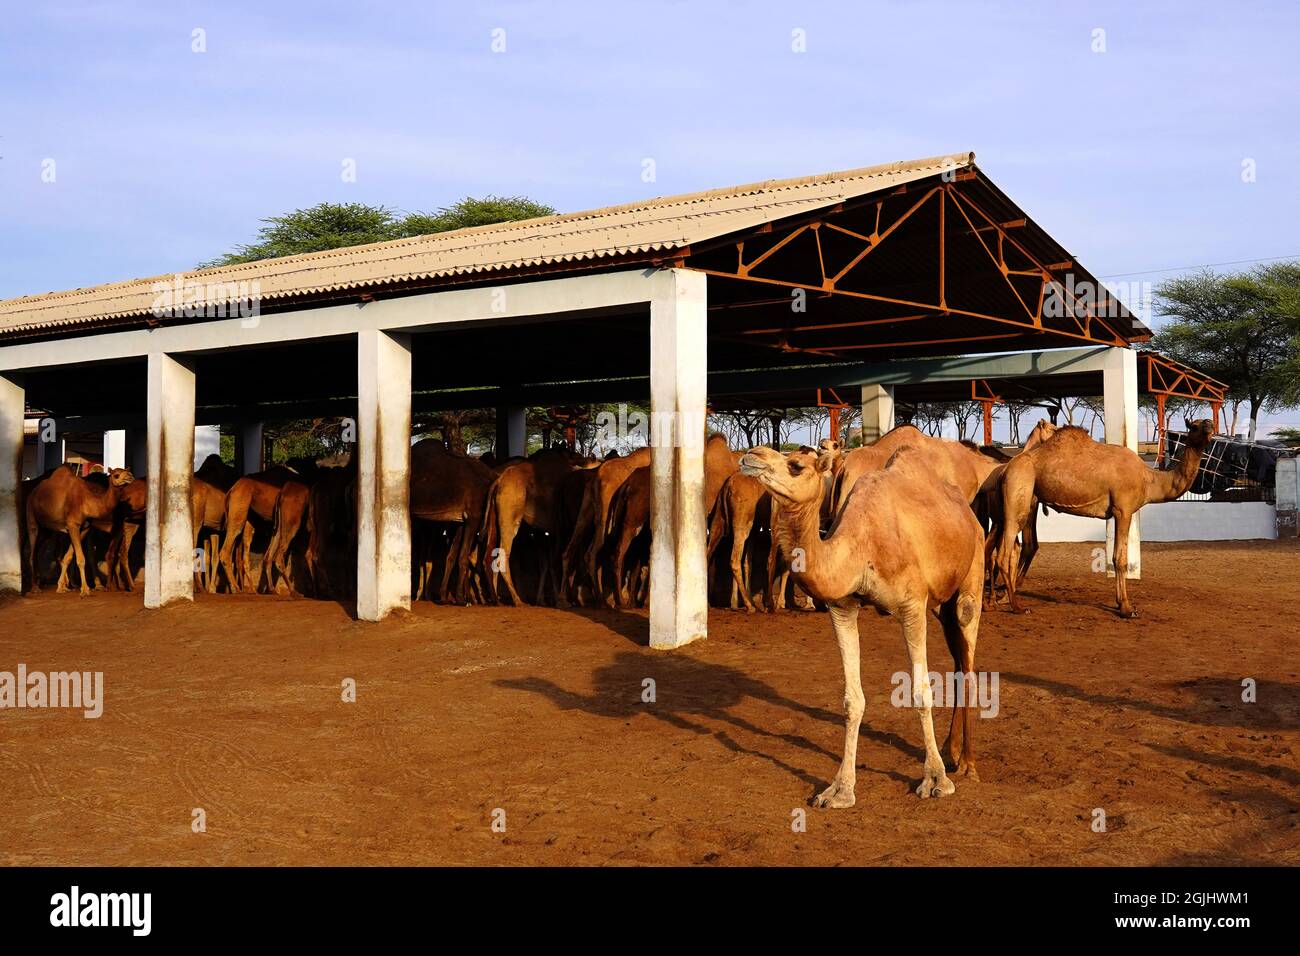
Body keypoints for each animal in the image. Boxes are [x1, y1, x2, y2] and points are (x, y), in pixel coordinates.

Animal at [25, 466, 136, 595]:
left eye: (126, 471)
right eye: (116, 475)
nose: (130, 476)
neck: (86, 502)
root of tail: (33, 492)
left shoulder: (84, 528)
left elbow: (69, 557)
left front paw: (61, 587)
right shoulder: (73, 525)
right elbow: (81, 558)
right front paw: (85, 590)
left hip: (46, 529)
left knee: (39, 549)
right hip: (31, 516)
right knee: (32, 547)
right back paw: (34, 588)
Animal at [741, 444, 985, 805]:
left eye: (796, 465)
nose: (750, 455)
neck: (861, 546)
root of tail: (969, 515)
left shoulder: (912, 605)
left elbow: (920, 692)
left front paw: (935, 780)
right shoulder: (843, 607)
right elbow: (852, 700)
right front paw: (839, 790)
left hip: (971, 578)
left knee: (968, 658)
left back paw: (967, 764)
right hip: (942, 604)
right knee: (957, 658)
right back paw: (950, 750)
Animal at [996, 418, 1215, 618]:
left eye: (1207, 422)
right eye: (1194, 426)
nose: (1209, 425)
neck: (1149, 480)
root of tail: (1006, 468)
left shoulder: (1119, 512)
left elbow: (1117, 556)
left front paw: (1120, 603)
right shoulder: (1123, 510)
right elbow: (1120, 558)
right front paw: (1126, 608)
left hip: (1026, 499)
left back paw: (1003, 598)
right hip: (1019, 489)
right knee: (1005, 553)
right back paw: (1017, 607)